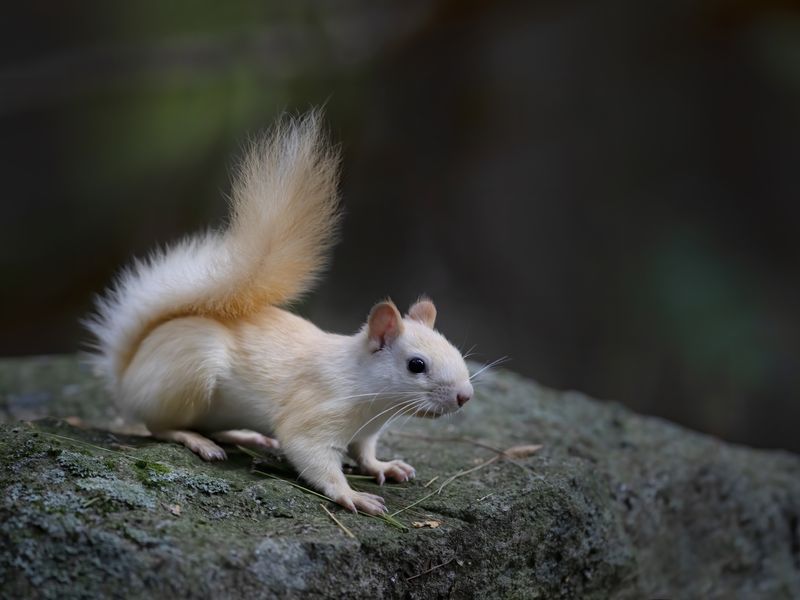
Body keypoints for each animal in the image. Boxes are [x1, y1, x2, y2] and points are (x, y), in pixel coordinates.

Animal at [86, 111, 473, 515]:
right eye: (416, 365)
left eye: (457, 352)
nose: (465, 396)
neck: (371, 399)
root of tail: (127, 374)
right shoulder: (314, 412)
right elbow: (312, 456)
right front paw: (353, 495)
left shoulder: (366, 432)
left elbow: (364, 454)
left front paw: (384, 466)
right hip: (186, 377)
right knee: (158, 426)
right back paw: (198, 440)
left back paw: (246, 436)